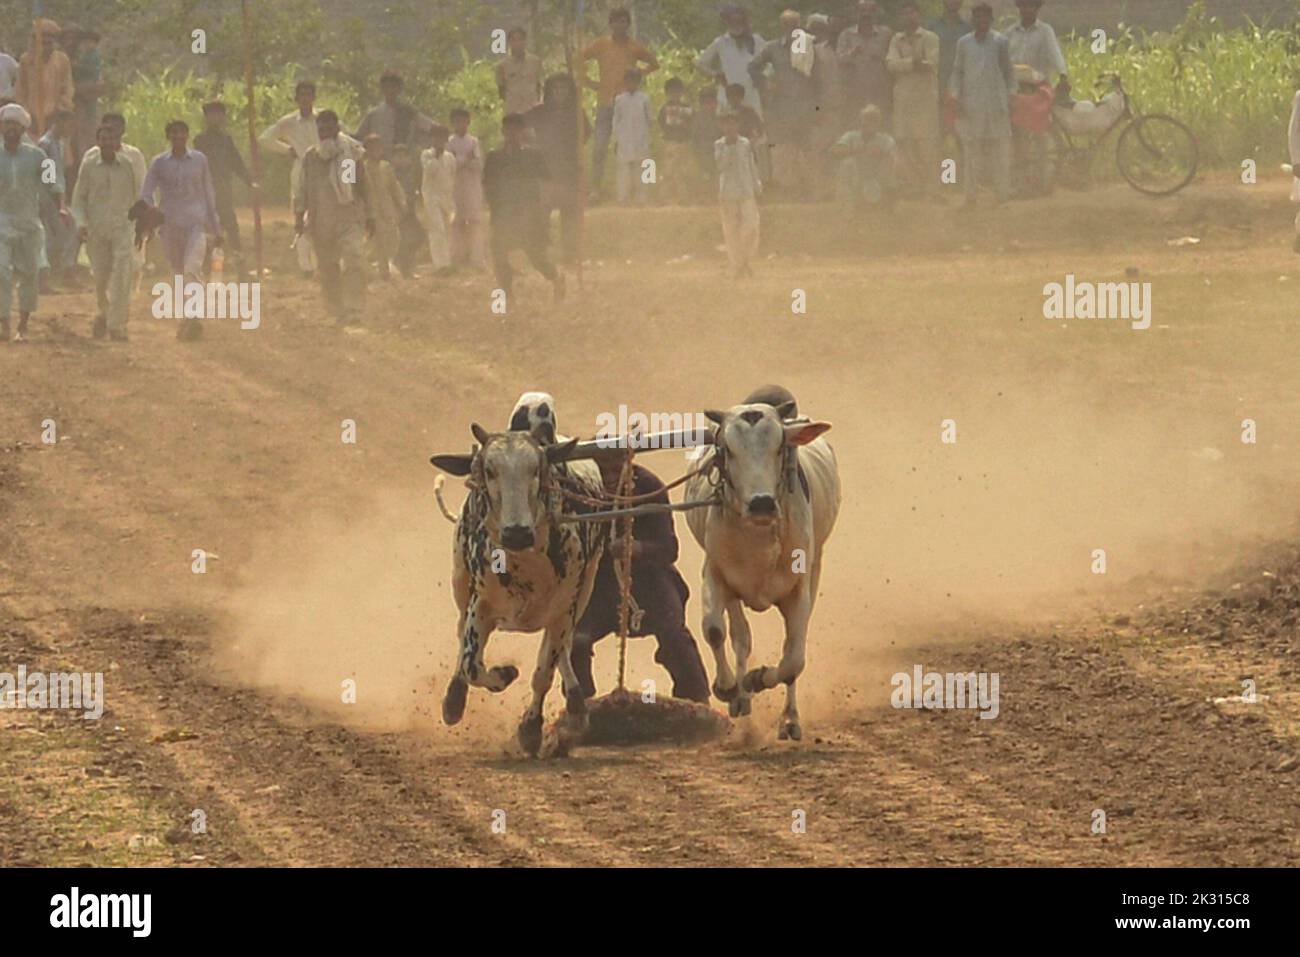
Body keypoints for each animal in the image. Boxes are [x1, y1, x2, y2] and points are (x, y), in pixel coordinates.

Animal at [431, 420, 609, 756]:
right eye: (489, 470)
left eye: (536, 468)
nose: (516, 533)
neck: (525, 564)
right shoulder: (480, 605)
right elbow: (472, 663)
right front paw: (504, 674)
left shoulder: (563, 609)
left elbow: (543, 673)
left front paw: (530, 727)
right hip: (460, 581)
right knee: (460, 635)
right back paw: (454, 697)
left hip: (585, 589)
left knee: (563, 648)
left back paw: (576, 705)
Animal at [684, 385, 841, 741]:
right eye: (727, 449)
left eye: (779, 446)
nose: (761, 504)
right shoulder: (715, 572)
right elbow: (715, 630)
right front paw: (729, 687)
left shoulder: (800, 587)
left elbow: (792, 659)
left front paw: (761, 682)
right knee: (741, 637)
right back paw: (740, 699)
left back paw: (787, 716)